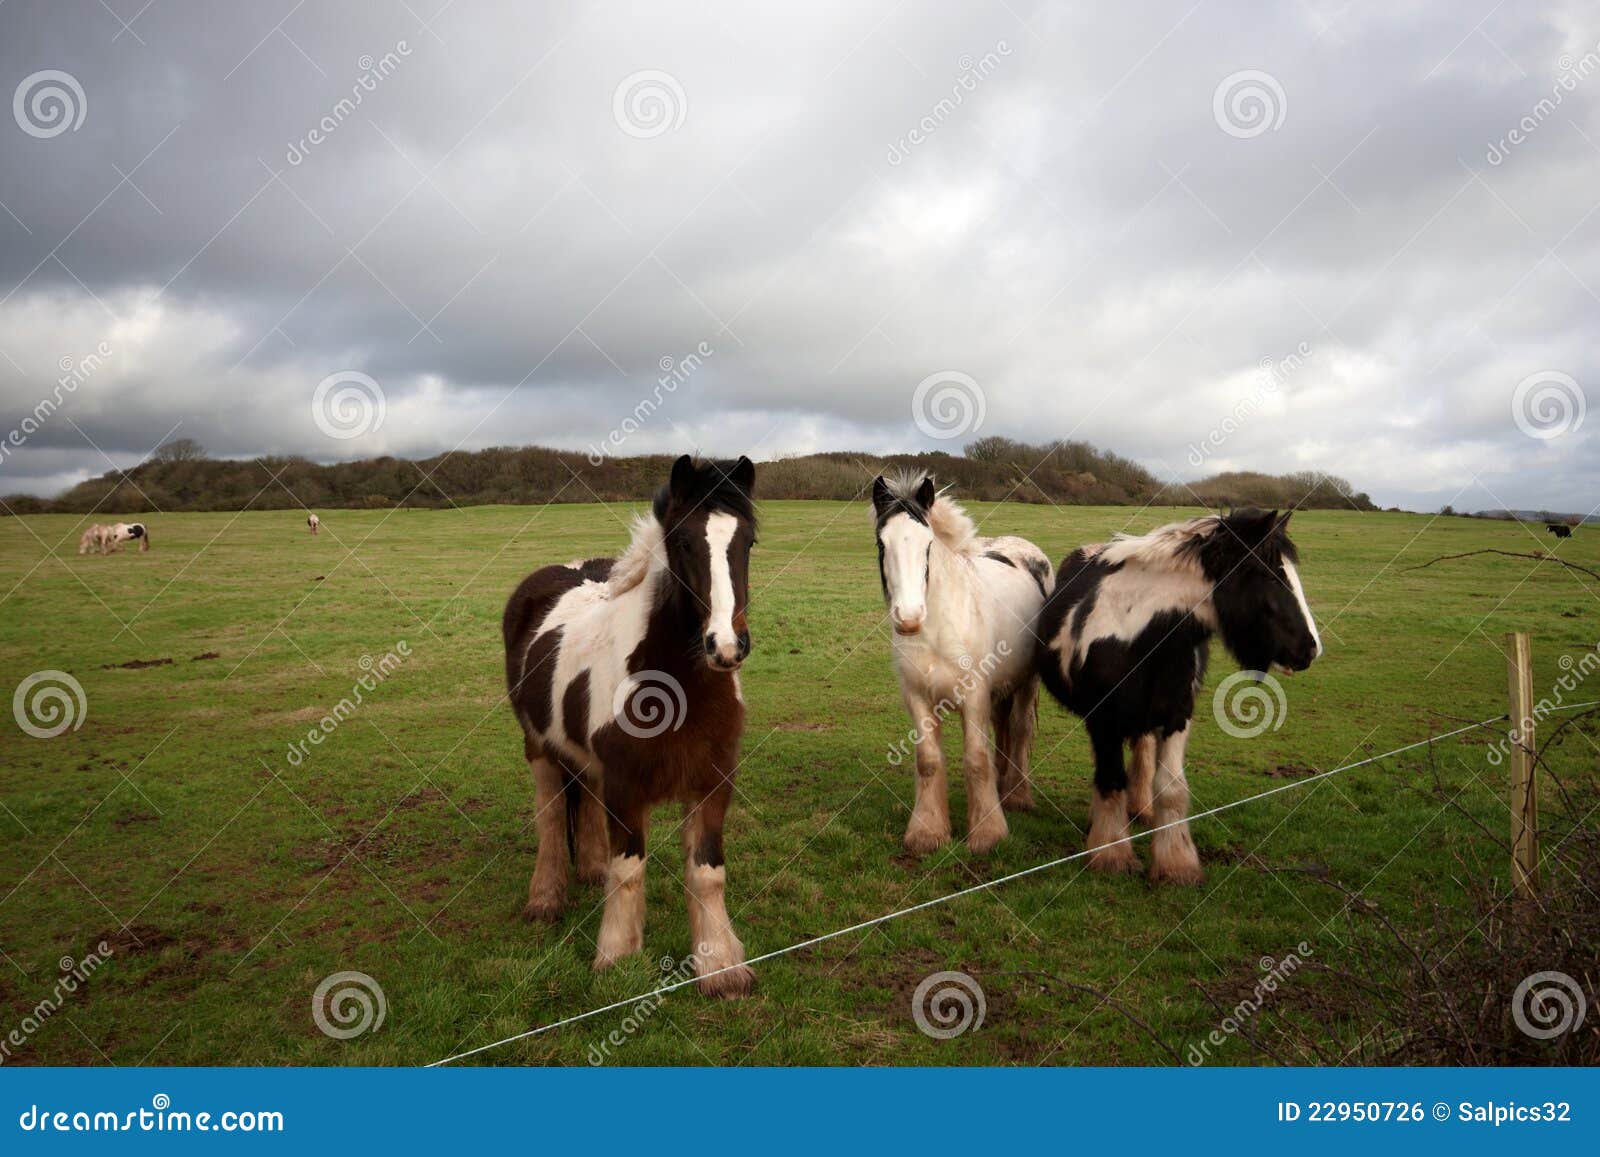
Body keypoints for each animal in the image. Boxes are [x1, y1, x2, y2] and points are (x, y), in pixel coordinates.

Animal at [502, 455, 758, 997]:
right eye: (683, 543)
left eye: (747, 541)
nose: (726, 646)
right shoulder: (626, 786)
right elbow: (630, 870)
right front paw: (616, 957)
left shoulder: (713, 780)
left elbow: (707, 873)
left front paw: (721, 966)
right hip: (539, 748)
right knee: (551, 814)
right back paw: (546, 900)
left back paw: (590, 871)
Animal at [871, 472, 1053, 855]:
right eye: (882, 544)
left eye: (927, 544)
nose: (909, 618)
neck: (940, 627)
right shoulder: (917, 696)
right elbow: (928, 760)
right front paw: (927, 832)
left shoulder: (974, 696)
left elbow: (976, 759)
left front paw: (988, 833)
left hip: (1027, 682)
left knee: (1019, 729)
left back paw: (1017, 796)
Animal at [1036, 508, 1321, 884]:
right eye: (1270, 575)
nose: (1310, 649)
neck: (1136, 634)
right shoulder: (1103, 721)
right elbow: (1111, 780)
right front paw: (1112, 855)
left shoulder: (1176, 716)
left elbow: (1171, 789)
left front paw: (1176, 866)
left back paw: (1139, 811)